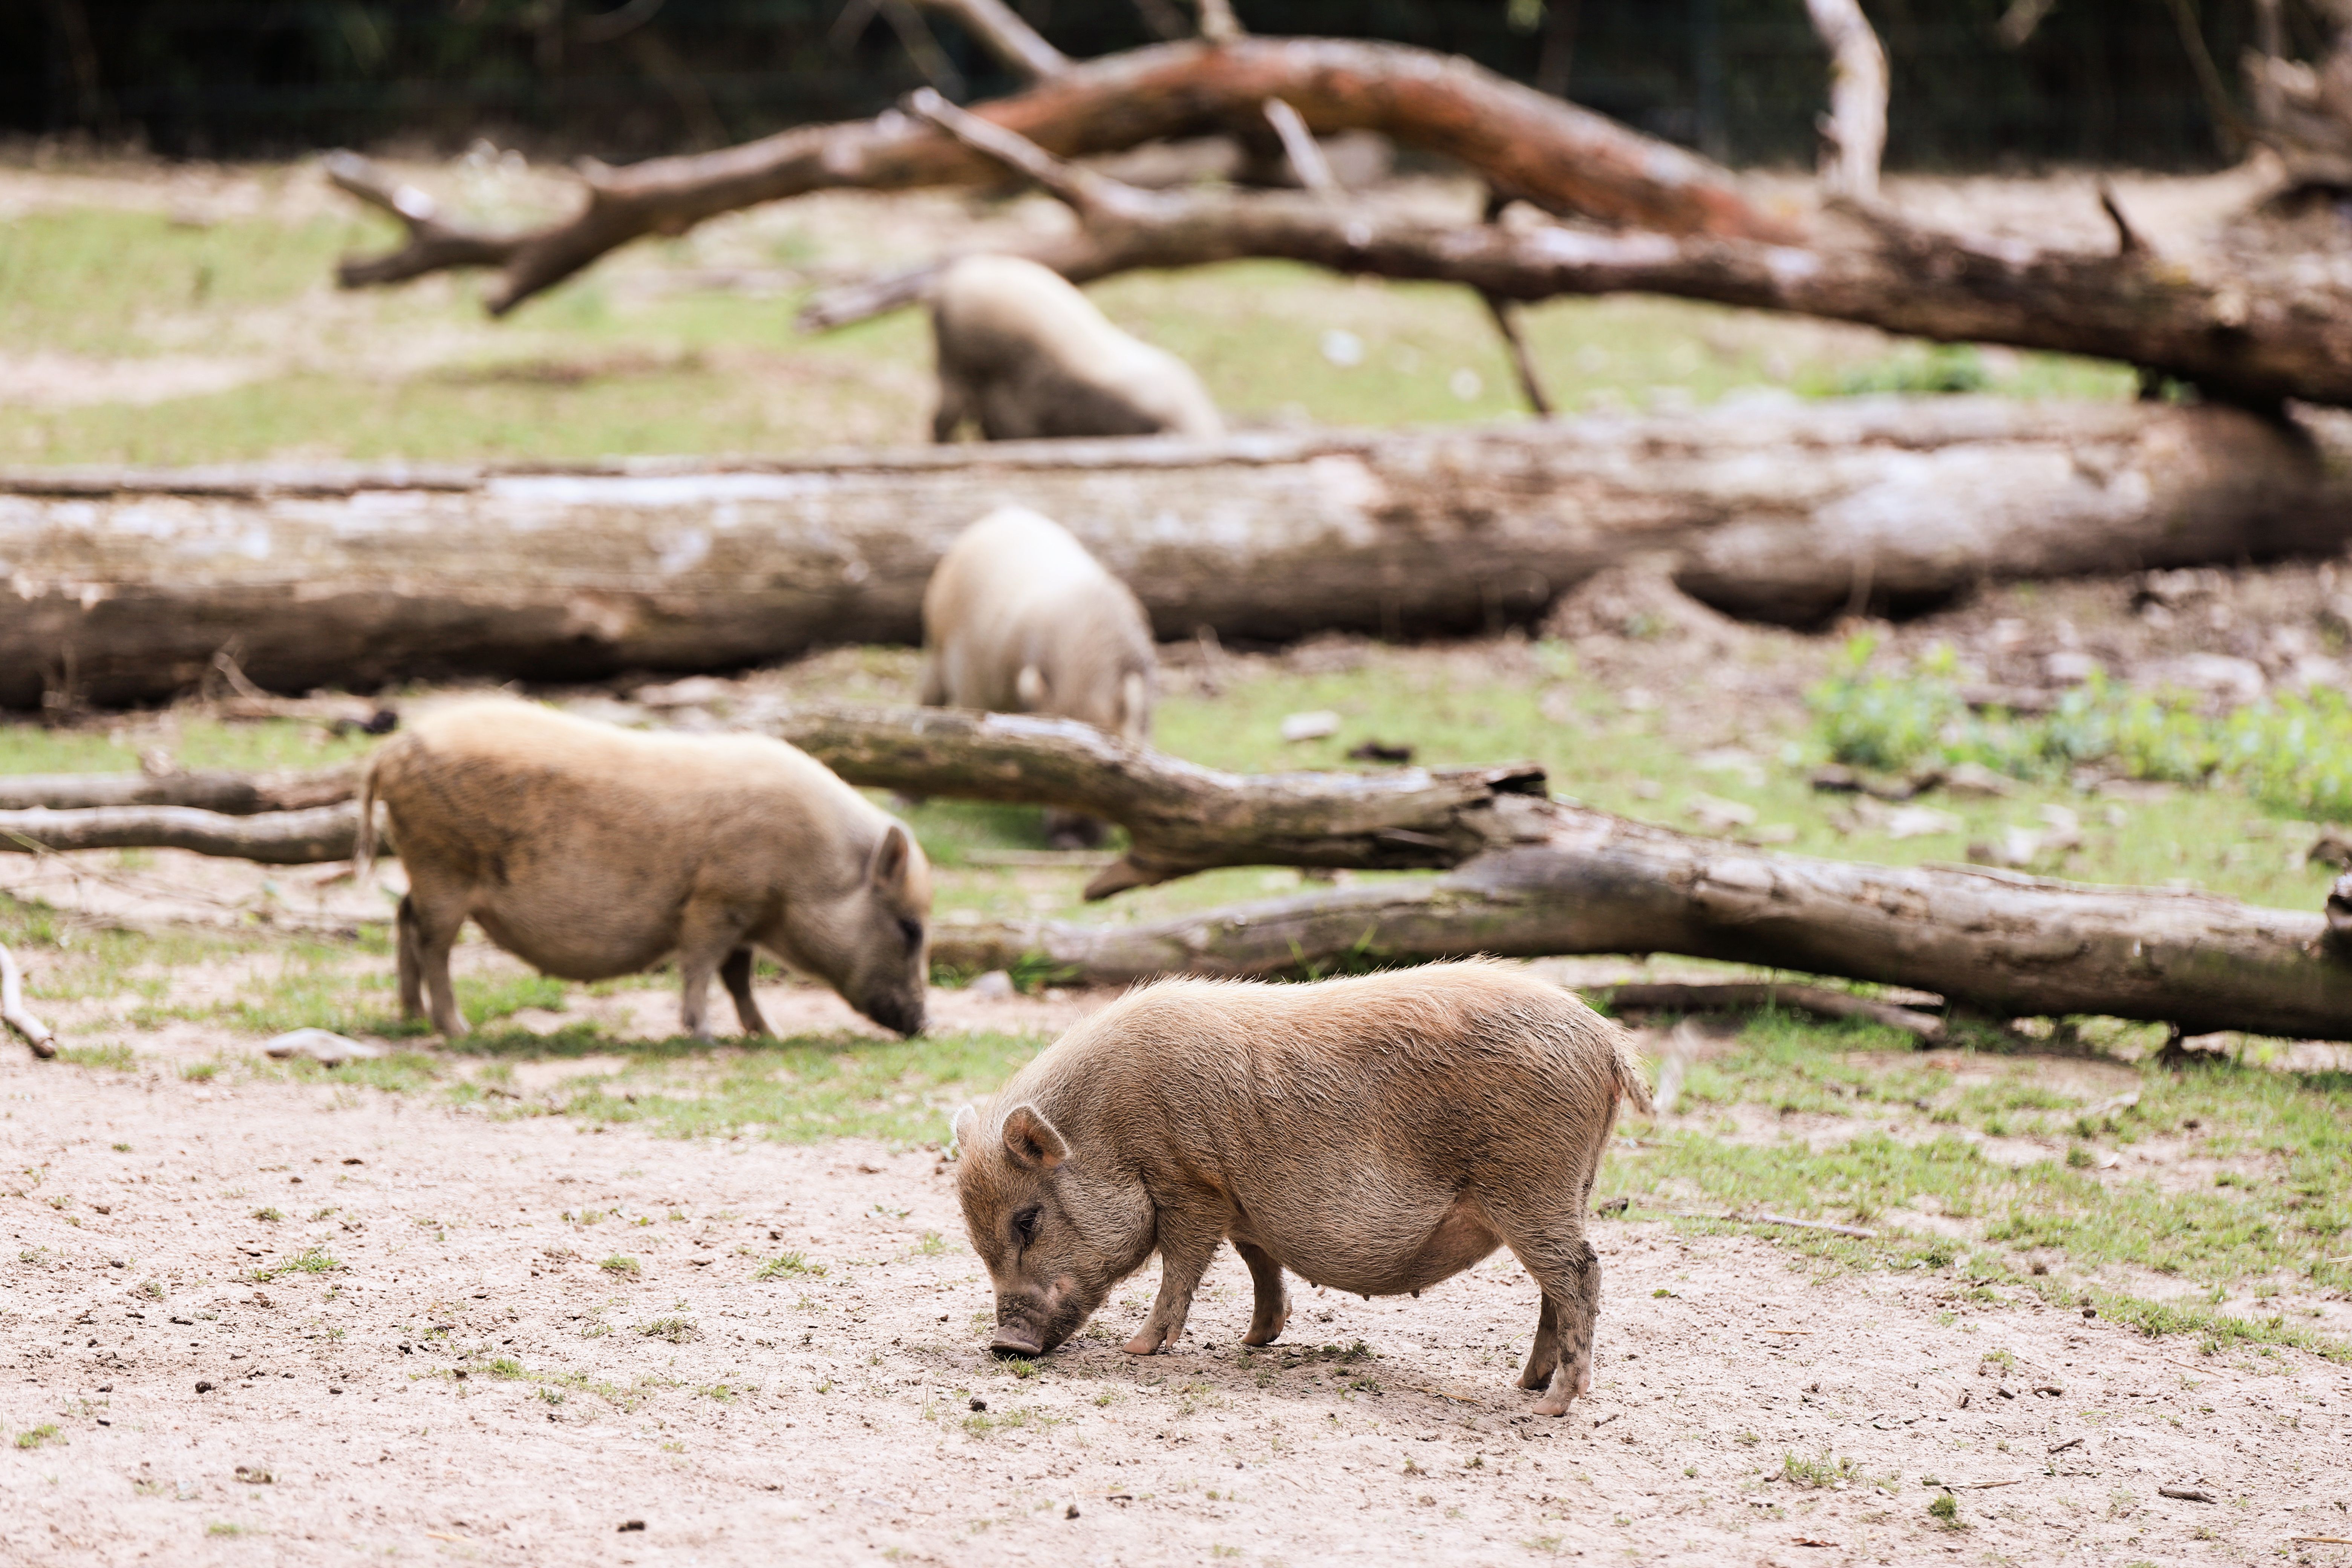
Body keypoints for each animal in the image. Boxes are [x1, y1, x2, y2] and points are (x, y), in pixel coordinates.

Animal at [357, 698, 930, 1041]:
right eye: (911, 928)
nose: (926, 1025)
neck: (809, 868)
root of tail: (388, 752)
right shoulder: (717, 900)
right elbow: (702, 966)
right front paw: (705, 1036)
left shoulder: (743, 915)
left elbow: (738, 976)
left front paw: (769, 1035)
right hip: (441, 865)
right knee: (432, 941)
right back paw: (458, 1029)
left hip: (424, 868)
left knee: (403, 918)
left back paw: (410, 1016)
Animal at [950, 961, 1652, 1417]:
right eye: (979, 1242)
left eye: (1027, 1221)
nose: (1004, 1345)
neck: (1109, 1129)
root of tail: (1607, 1042)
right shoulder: (1238, 1202)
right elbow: (1259, 1261)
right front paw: (1255, 1340)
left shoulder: (1190, 1183)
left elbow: (1182, 1266)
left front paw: (1139, 1349)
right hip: (1568, 1188)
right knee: (1554, 1287)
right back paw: (1528, 1385)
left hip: (1531, 1182)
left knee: (1580, 1273)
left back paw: (1550, 1406)